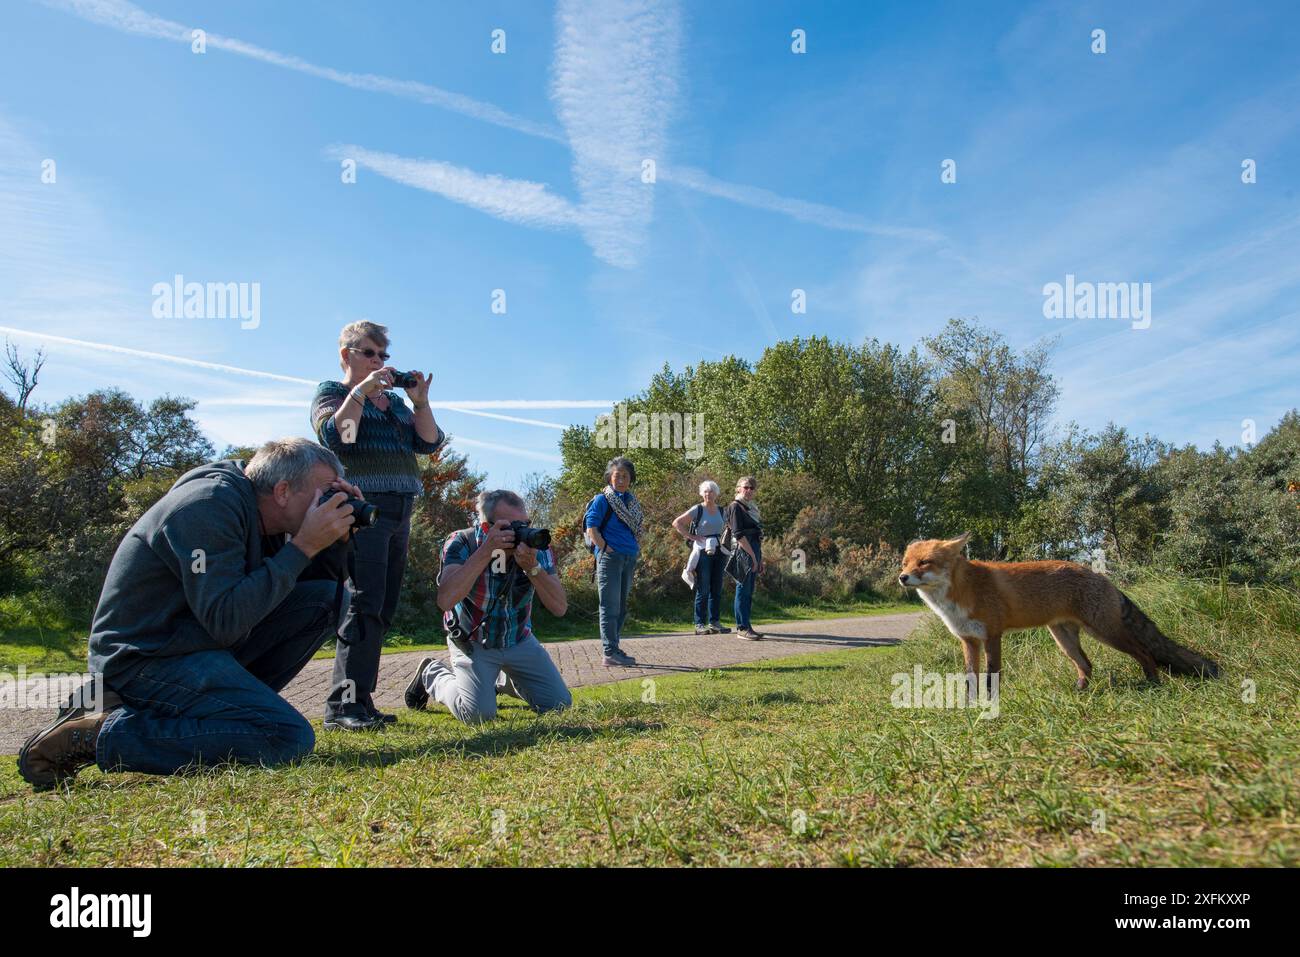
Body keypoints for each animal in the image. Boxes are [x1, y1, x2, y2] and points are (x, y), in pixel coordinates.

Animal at [898, 533, 1220, 692]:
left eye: (924, 563)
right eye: (905, 563)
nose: (902, 578)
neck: (959, 596)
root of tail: (1102, 577)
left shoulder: (992, 636)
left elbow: (991, 676)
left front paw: (990, 703)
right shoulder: (968, 640)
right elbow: (970, 679)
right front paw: (969, 706)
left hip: (1105, 632)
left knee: (1145, 652)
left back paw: (1152, 683)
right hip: (1064, 638)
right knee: (1087, 665)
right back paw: (1079, 691)